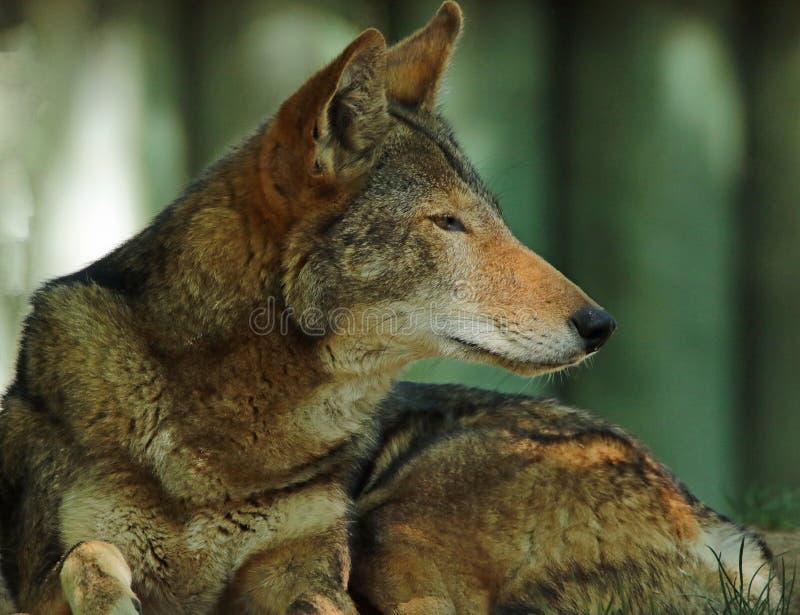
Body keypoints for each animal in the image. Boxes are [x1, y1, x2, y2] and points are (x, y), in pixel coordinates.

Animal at [0, 3, 618, 613]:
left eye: (494, 219)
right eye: (447, 222)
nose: (601, 325)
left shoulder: (308, 567)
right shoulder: (40, 579)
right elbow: (86, 553)